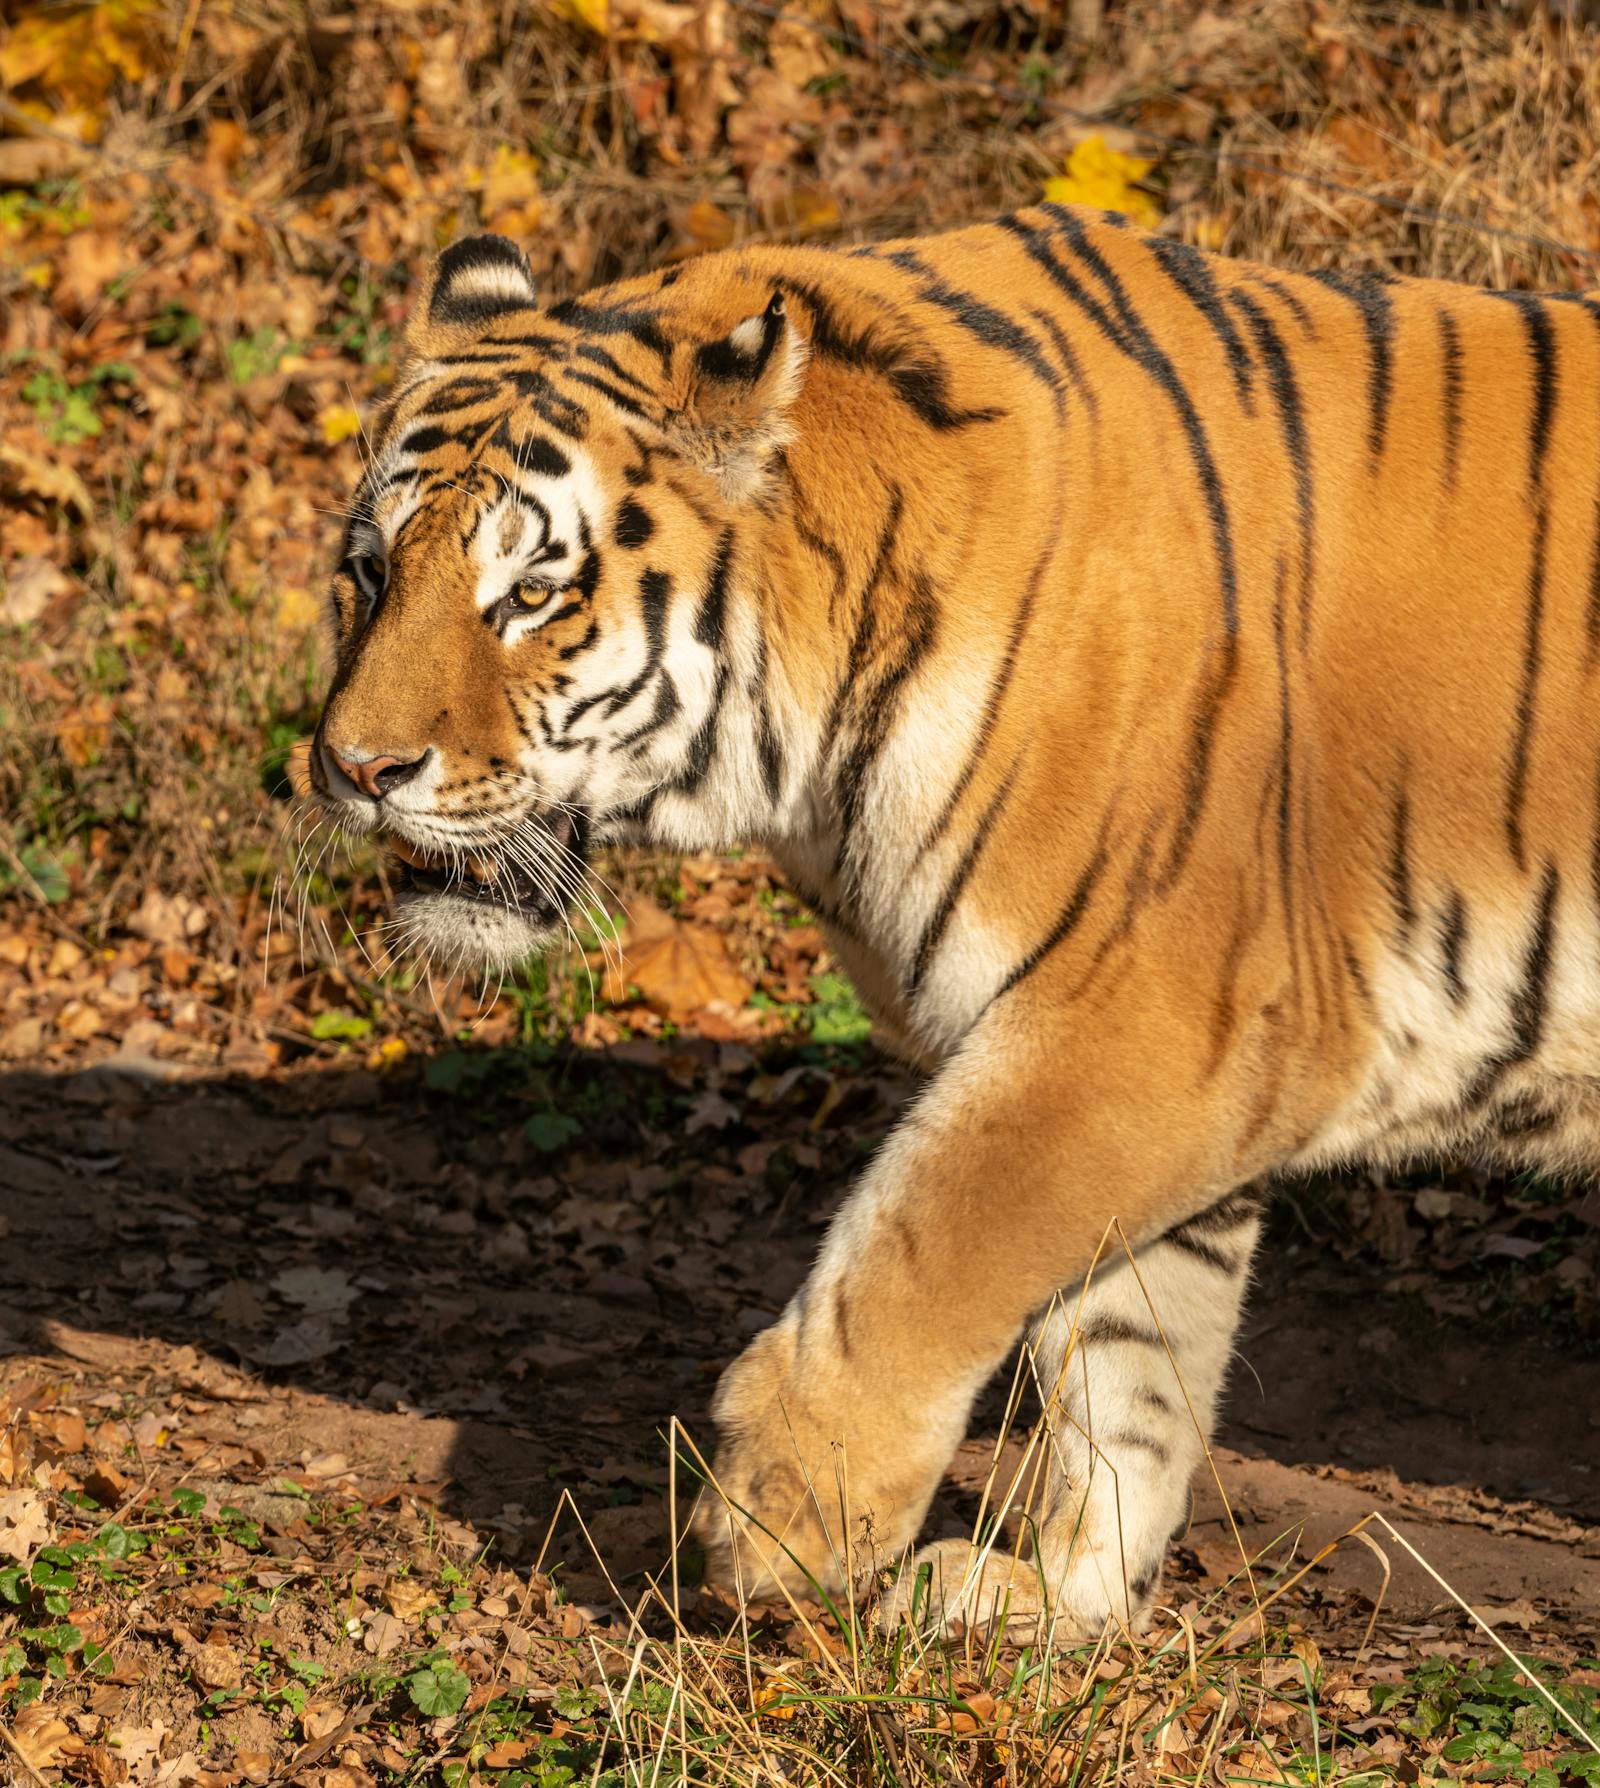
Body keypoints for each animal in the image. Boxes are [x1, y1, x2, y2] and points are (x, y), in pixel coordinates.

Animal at [293, 204, 1600, 1640]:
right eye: (369, 571)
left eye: (529, 596)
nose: (355, 768)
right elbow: (1131, 1362)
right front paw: (1061, 1602)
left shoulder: (1162, 1018)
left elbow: (928, 1249)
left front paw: (787, 1515)